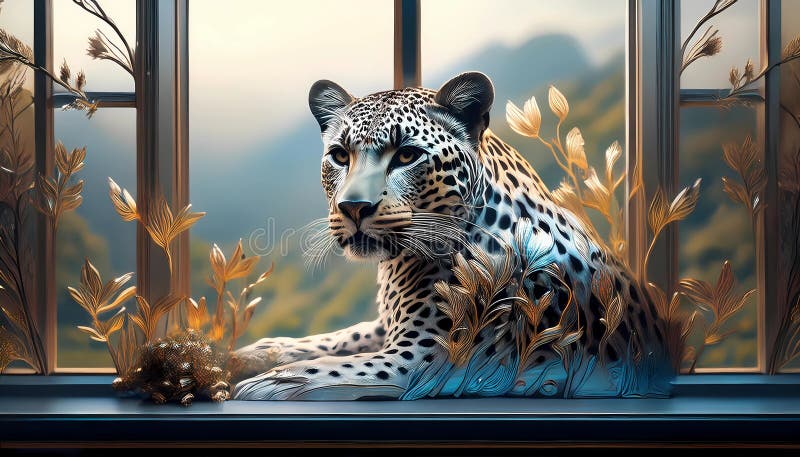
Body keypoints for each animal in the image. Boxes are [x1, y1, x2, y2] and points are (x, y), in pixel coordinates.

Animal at [231, 72, 672, 400]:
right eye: (340, 155)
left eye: (406, 155)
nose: (353, 207)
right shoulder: (392, 325)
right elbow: (340, 337)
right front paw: (255, 354)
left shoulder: (423, 357)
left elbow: (333, 368)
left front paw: (267, 383)